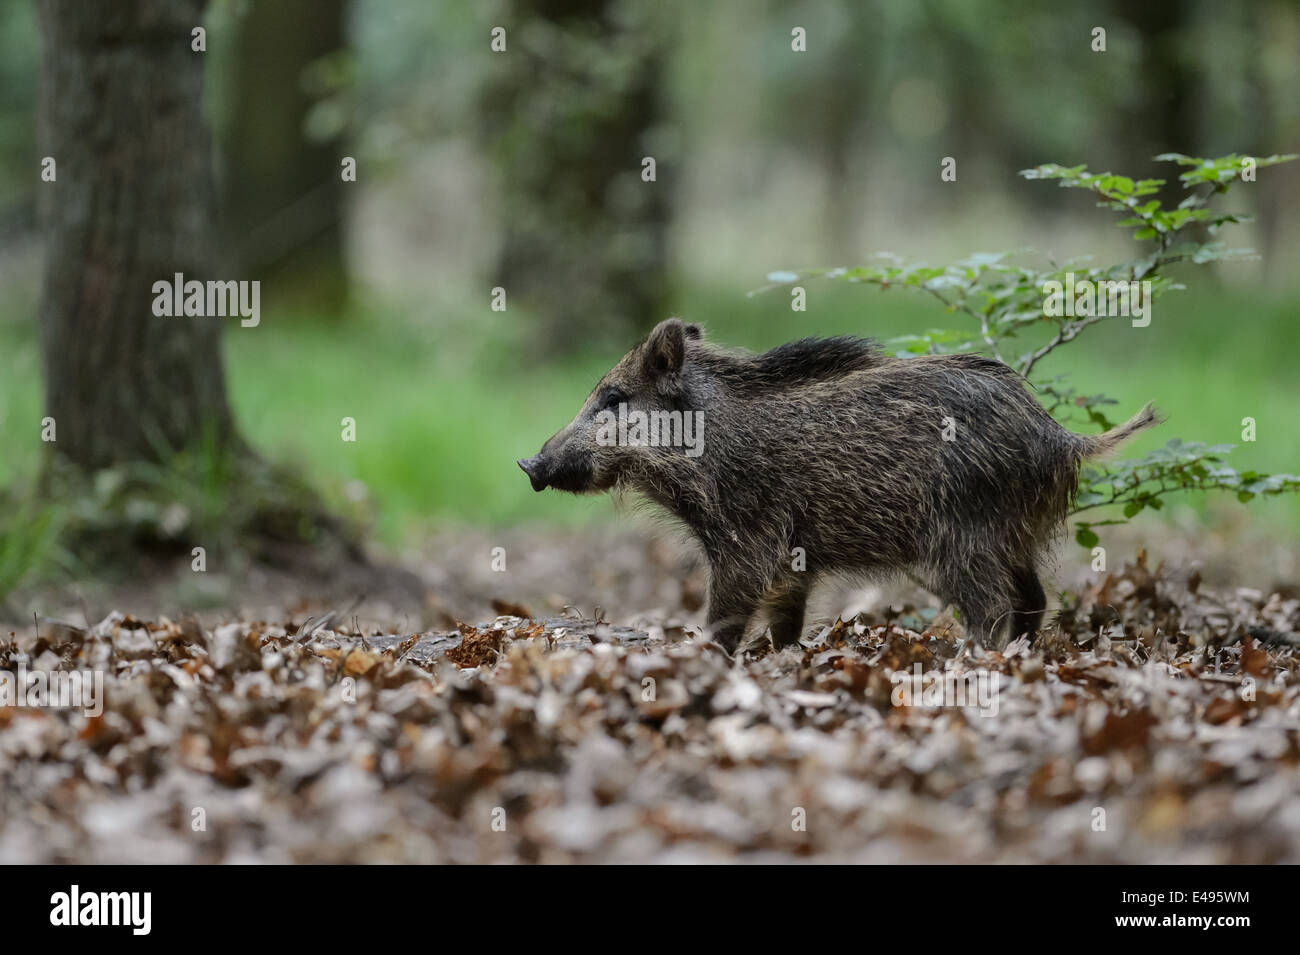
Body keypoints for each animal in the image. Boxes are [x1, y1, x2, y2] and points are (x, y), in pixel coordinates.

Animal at [518, 318, 1159, 652]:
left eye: (614, 398)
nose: (528, 463)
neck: (709, 444)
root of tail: (1060, 437)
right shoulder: (793, 557)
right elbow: (785, 617)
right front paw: (780, 657)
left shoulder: (747, 538)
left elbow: (727, 611)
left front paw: (709, 657)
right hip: (1016, 534)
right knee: (1034, 599)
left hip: (962, 535)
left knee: (994, 605)